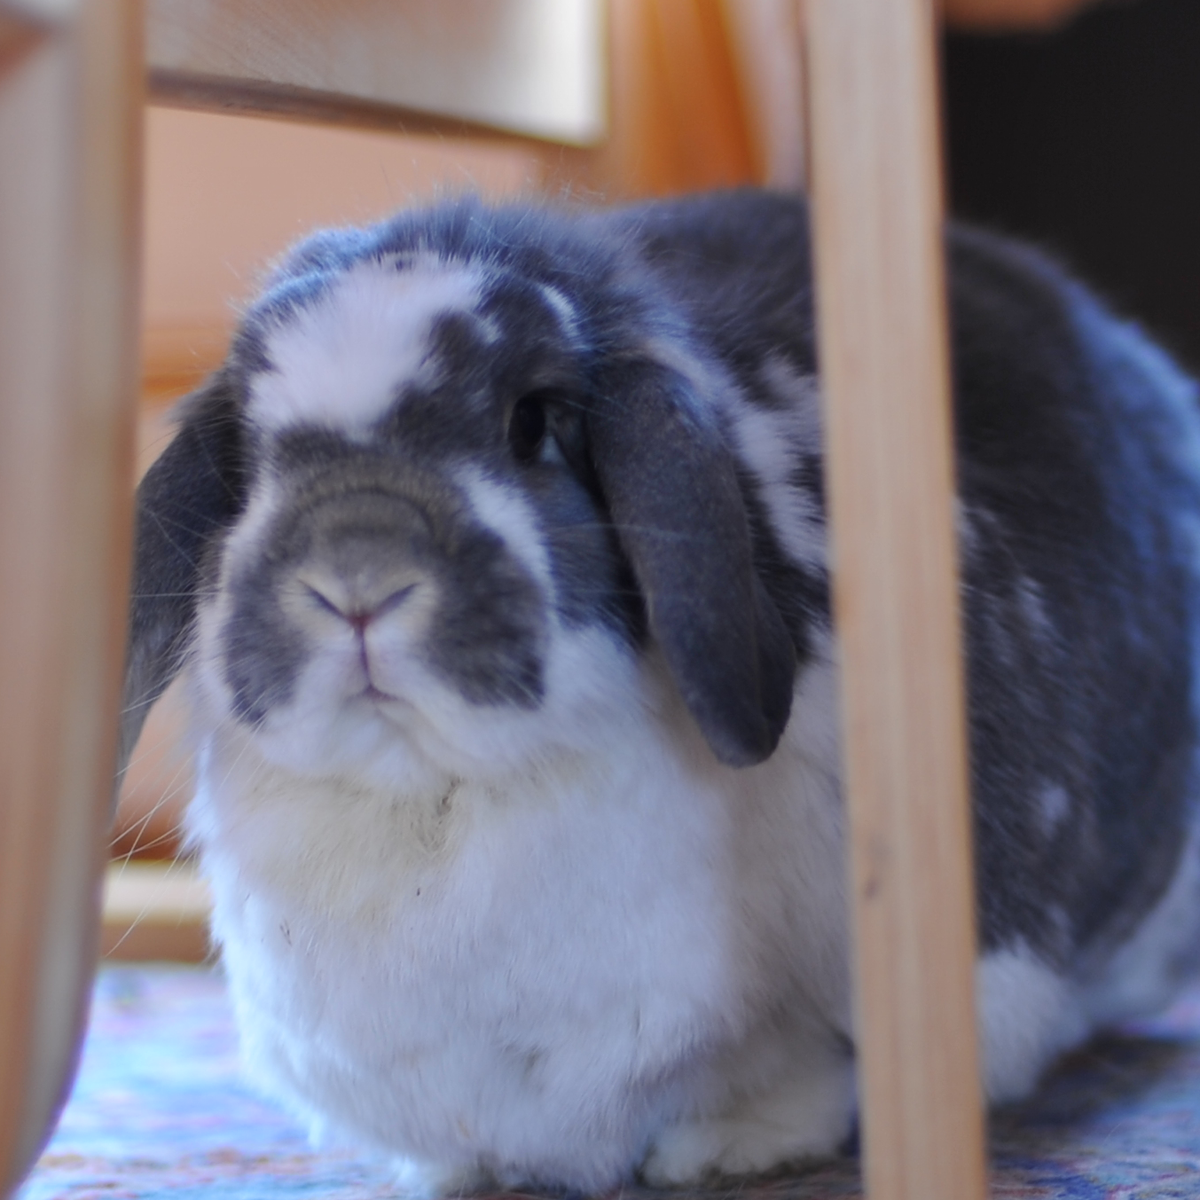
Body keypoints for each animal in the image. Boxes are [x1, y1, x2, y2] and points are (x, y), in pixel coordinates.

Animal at [120, 188, 1200, 1194]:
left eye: (532, 423)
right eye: (247, 455)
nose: (354, 581)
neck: (436, 800)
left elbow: (811, 1074)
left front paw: (727, 1150)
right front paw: (455, 1176)